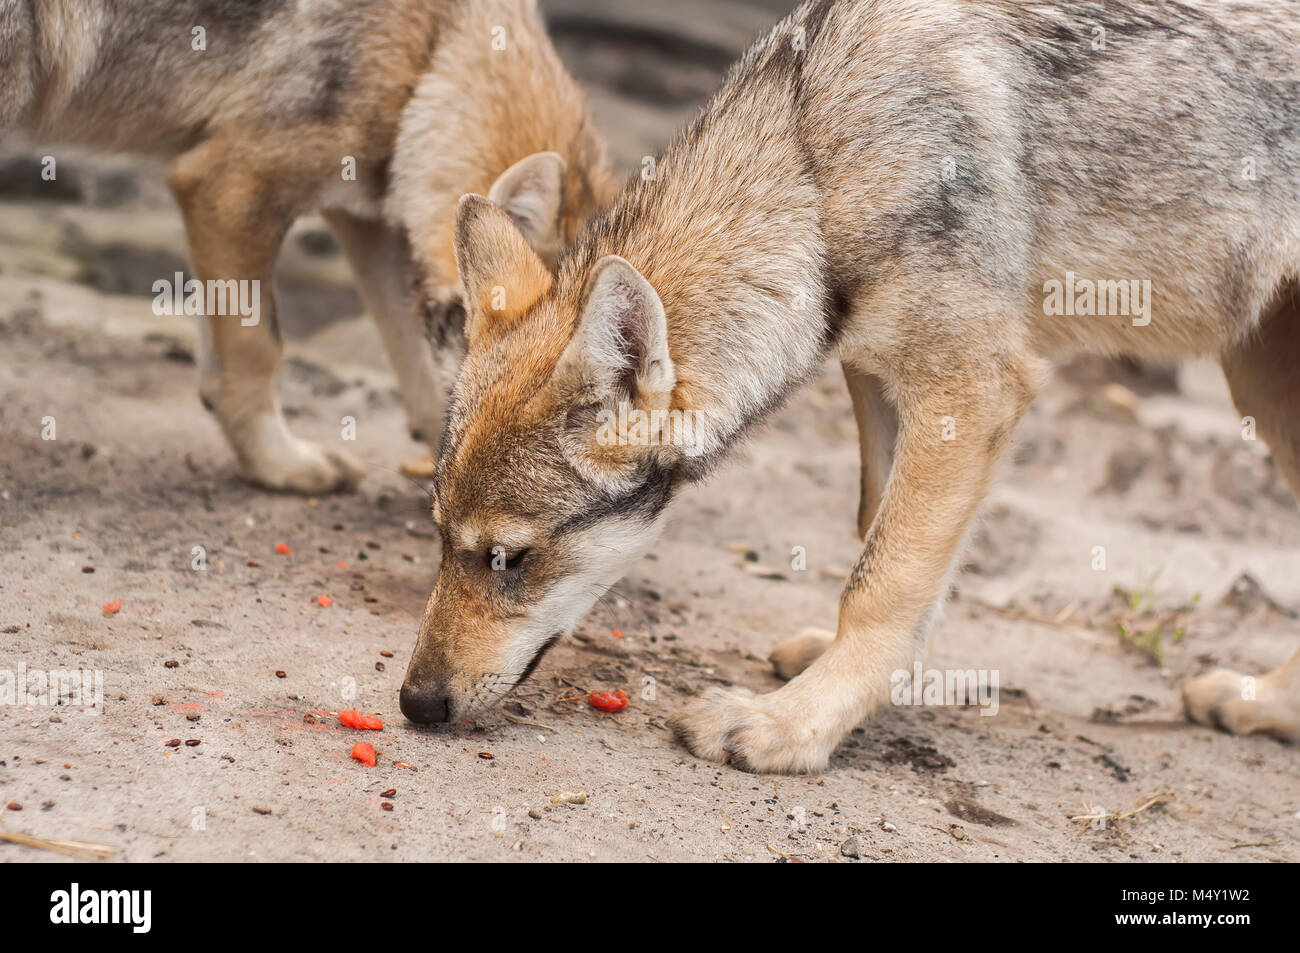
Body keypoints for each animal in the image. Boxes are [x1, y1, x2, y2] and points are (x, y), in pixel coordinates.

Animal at [0, 0, 616, 492]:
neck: (430, 54)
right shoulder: (230, 188)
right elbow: (256, 351)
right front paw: (279, 467)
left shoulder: (365, 219)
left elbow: (422, 375)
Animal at [399, 0, 1300, 772]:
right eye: (438, 538)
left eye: (509, 558)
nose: (415, 704)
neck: (818, 172)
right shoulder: (877, 375)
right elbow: (884, 540)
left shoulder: (973, 387)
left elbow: (882, 580)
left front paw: (794, 726)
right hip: (1261, 386)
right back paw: (1264, 704)